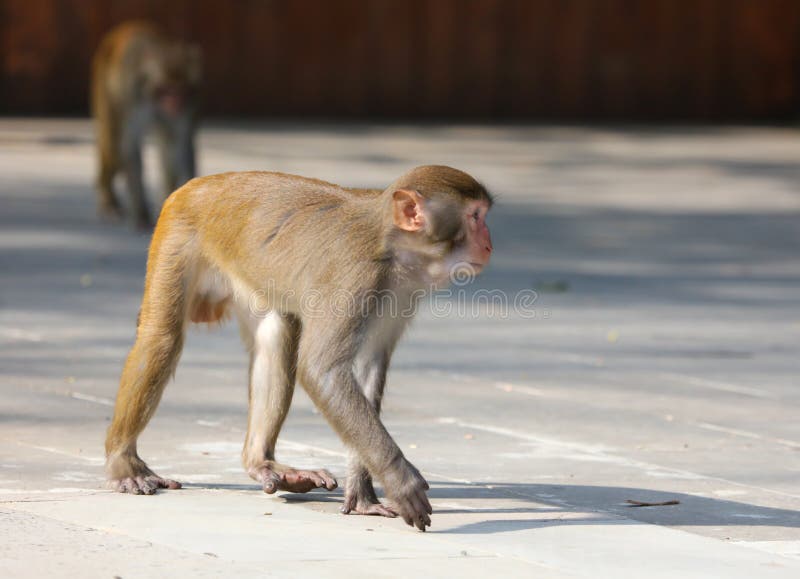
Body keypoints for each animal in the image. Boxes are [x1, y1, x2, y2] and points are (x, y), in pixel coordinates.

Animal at [91, 21, 202, 229]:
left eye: (182, 90)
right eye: (166, 90)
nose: (174, 104)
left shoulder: (189, 104)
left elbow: (178, 144)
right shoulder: (134, 97)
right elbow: (130, 146)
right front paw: (141, 214)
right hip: (103, 83)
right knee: (113, 143)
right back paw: (108, 200)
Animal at [104, 165, 493, 531]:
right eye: (475, 216)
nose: (489, 244)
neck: (395, 251)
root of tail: (200, 183)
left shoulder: (403, 294)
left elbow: (368, 367)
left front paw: (362, 494)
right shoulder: (356, 278)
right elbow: (322, 370)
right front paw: (401, 479)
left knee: (277, 330)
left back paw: (260, 462)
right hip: (178, 232)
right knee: (162, 337)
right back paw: (124, 462)